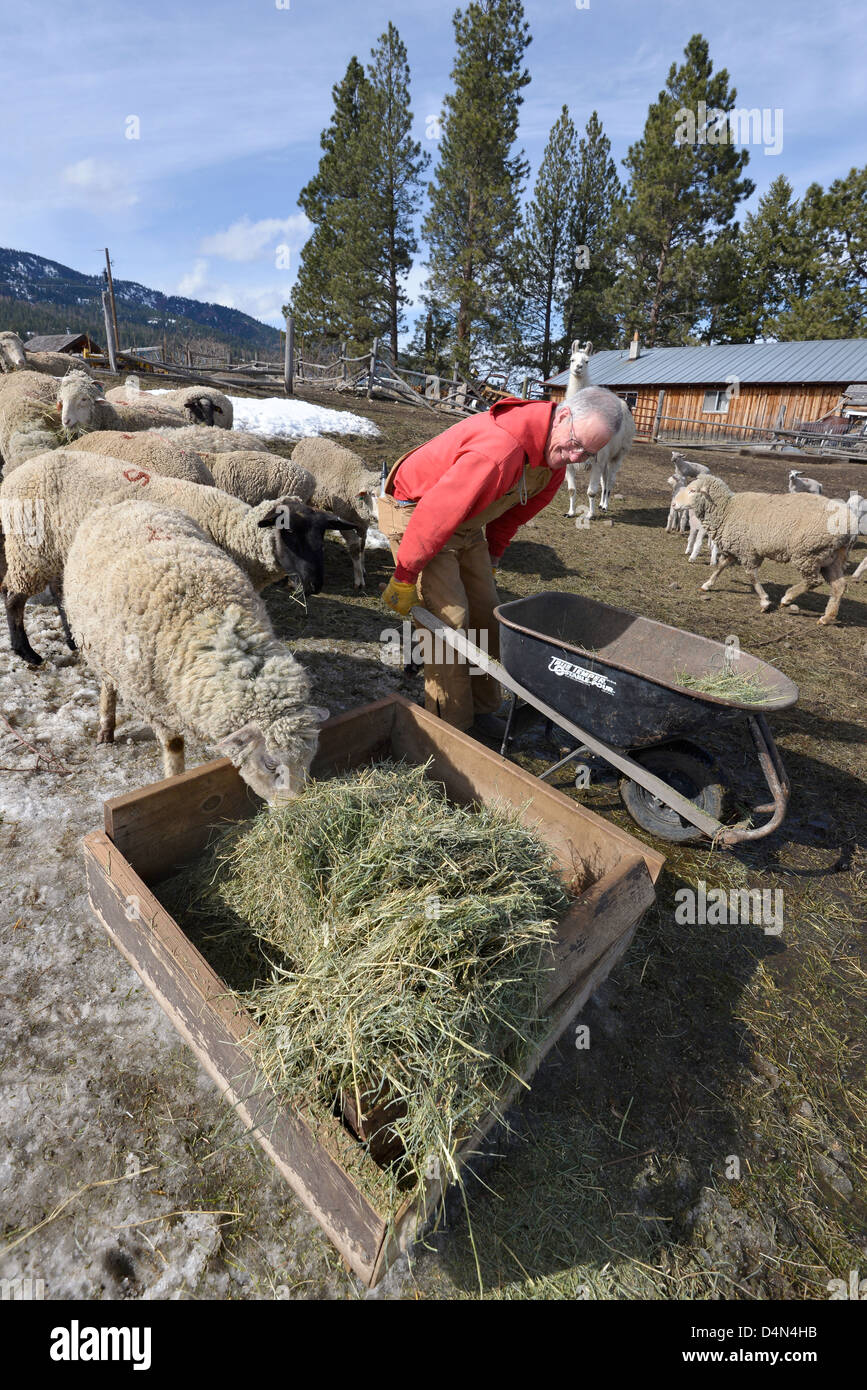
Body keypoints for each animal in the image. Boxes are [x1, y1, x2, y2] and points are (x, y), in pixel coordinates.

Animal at [0, 450, 358, 665]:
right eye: (288, 532)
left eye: (322, 537)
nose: (314, 583)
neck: (230, 529)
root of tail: (16, 475)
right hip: (29, 548)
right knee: (13, 595)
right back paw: (26, 652)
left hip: (59, 550)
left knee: (59, 591)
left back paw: (72, 639)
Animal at [63, 499, 330, 795]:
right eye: (270, 764)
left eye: (309, 759)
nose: (295, 805)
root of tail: (126, 503)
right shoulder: (157, 708)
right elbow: (174, 746)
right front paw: (173, 780)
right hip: (97, 649)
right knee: (108, 685)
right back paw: (106, 727)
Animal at [290, 436, 380, 589]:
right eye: (372, 494)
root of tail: (306, 439)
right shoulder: (344, 519)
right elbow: (355, 547)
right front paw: (359, 580)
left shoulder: (363, 523)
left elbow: (362, 543)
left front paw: (362, 568)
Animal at [673, 474, 857, 625]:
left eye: (693, 490)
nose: (674, 504)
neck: (726, 509)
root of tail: (850, 525)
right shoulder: (736, 547)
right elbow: (720, 566)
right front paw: (707, 585)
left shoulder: (748, 550)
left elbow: (751, 576)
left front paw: (765, 602)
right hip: (830, 557)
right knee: (839, 586)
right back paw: (827, 617)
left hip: (807, 552)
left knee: (813, 581)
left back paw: (787, 598)